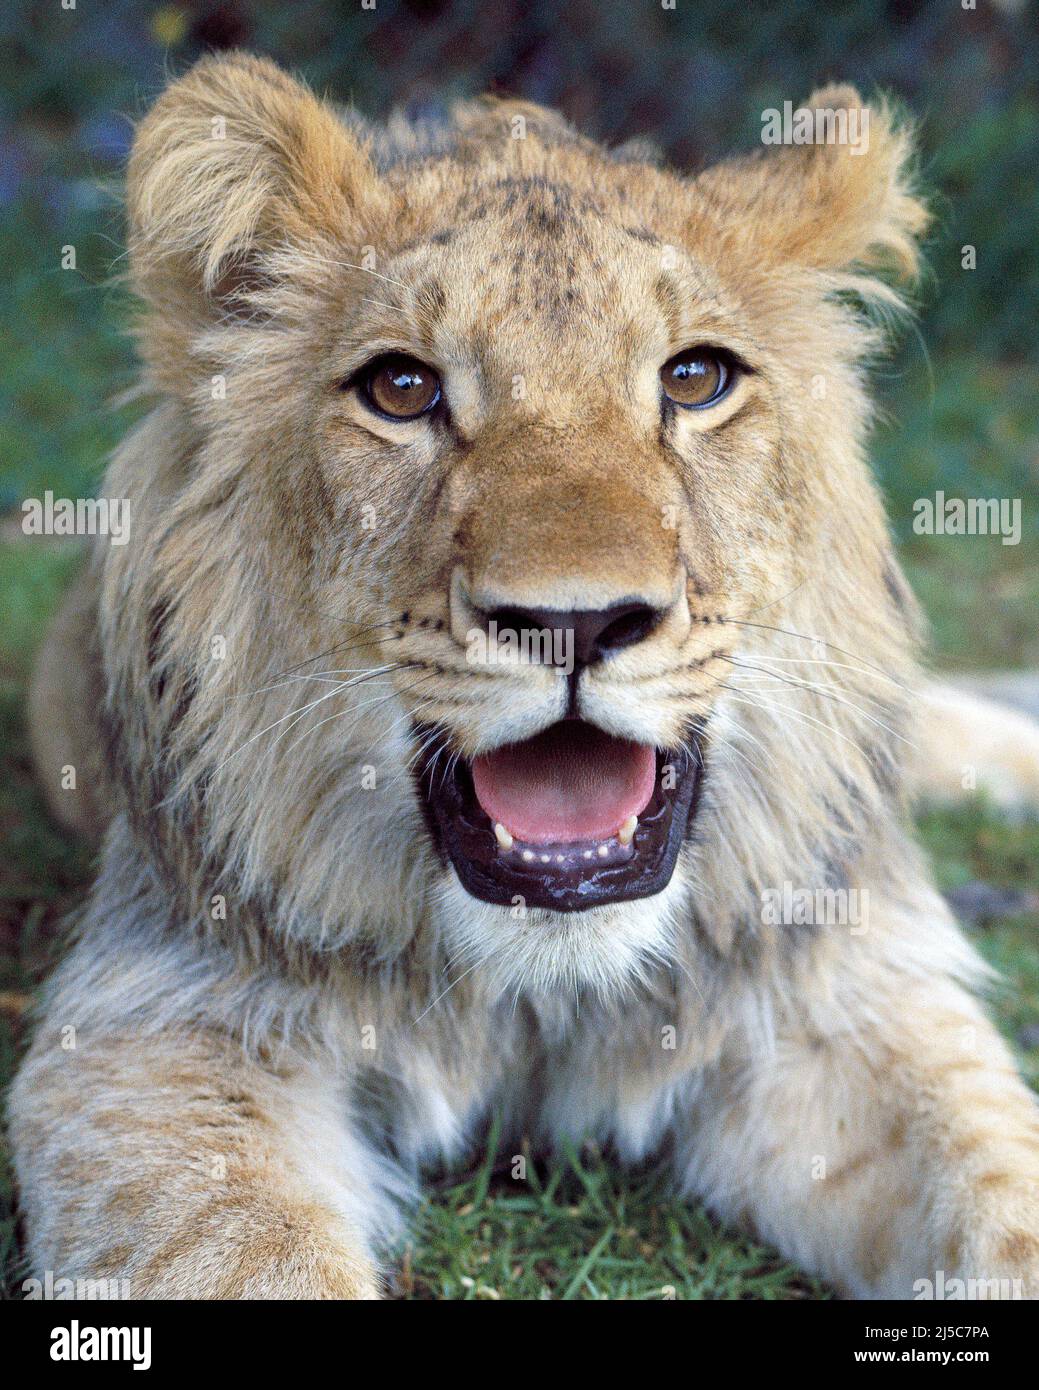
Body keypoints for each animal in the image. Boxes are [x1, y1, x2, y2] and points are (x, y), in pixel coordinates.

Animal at [9, 52, 1039, 1300]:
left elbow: (1003, 1193)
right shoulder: (154, 1036)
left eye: (695, 378)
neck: (538, 993)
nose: (576, 622)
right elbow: (254, 1262)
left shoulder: (846, 1008)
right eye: (400, 390)